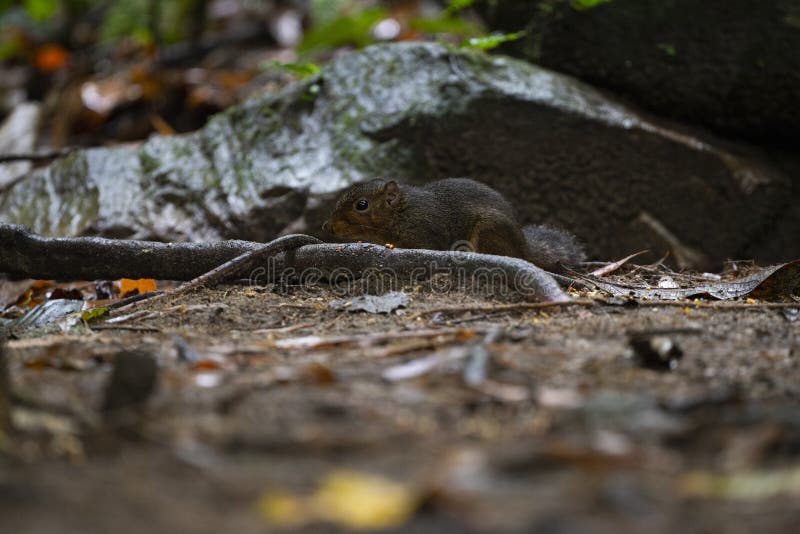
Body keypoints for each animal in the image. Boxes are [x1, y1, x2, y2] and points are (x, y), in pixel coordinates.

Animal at [322, 178, 585, 272]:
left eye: (362, 205)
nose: (327, 227)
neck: (401, 214)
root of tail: (523, 246)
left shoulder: (425, 234)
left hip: (489, 231)